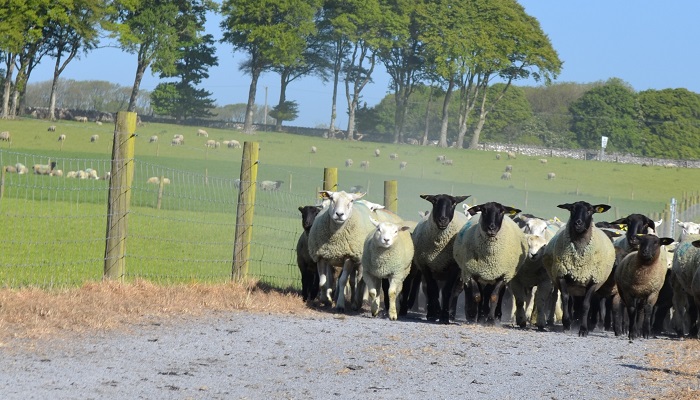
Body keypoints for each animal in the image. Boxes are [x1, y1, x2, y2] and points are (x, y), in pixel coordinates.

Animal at [411, 194, 470, 323]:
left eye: (454, 203)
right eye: (434, 201)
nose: (443, 219)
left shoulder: (453, 266)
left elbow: (447, 291)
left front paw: (444, 317)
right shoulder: (426, 266)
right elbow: (432, 290)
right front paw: (435, 313)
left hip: (459, 274)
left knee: (455, 291)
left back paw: (451, 314)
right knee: (430, 290)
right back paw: (432, 313)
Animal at [542, 201, 616, 337]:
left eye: (590, 210)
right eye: (572, 209)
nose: (578, 223)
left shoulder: (593, 281)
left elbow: (586, 305)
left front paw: (583, 329)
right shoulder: (562, 275)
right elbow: (565, 298)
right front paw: (566, 324)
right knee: (571, 302)